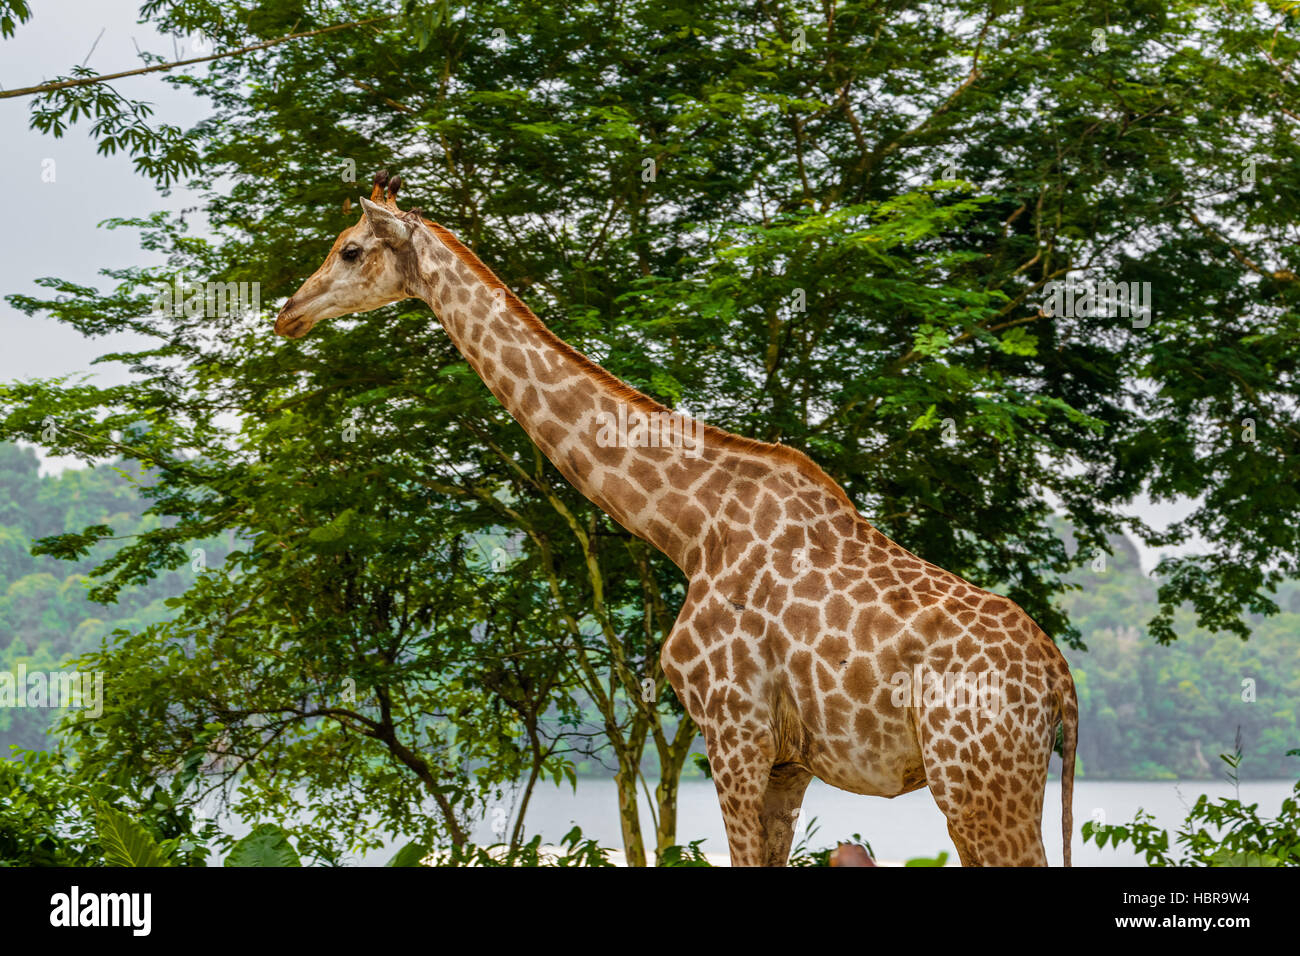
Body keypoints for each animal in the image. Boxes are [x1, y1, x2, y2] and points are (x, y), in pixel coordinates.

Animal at [275, 171, 1079, 867]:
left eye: (350, 248)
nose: (288, 313)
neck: (688, 531)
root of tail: (1061, 687)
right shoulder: (786, 761)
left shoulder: (733, 730)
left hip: (975, 781)